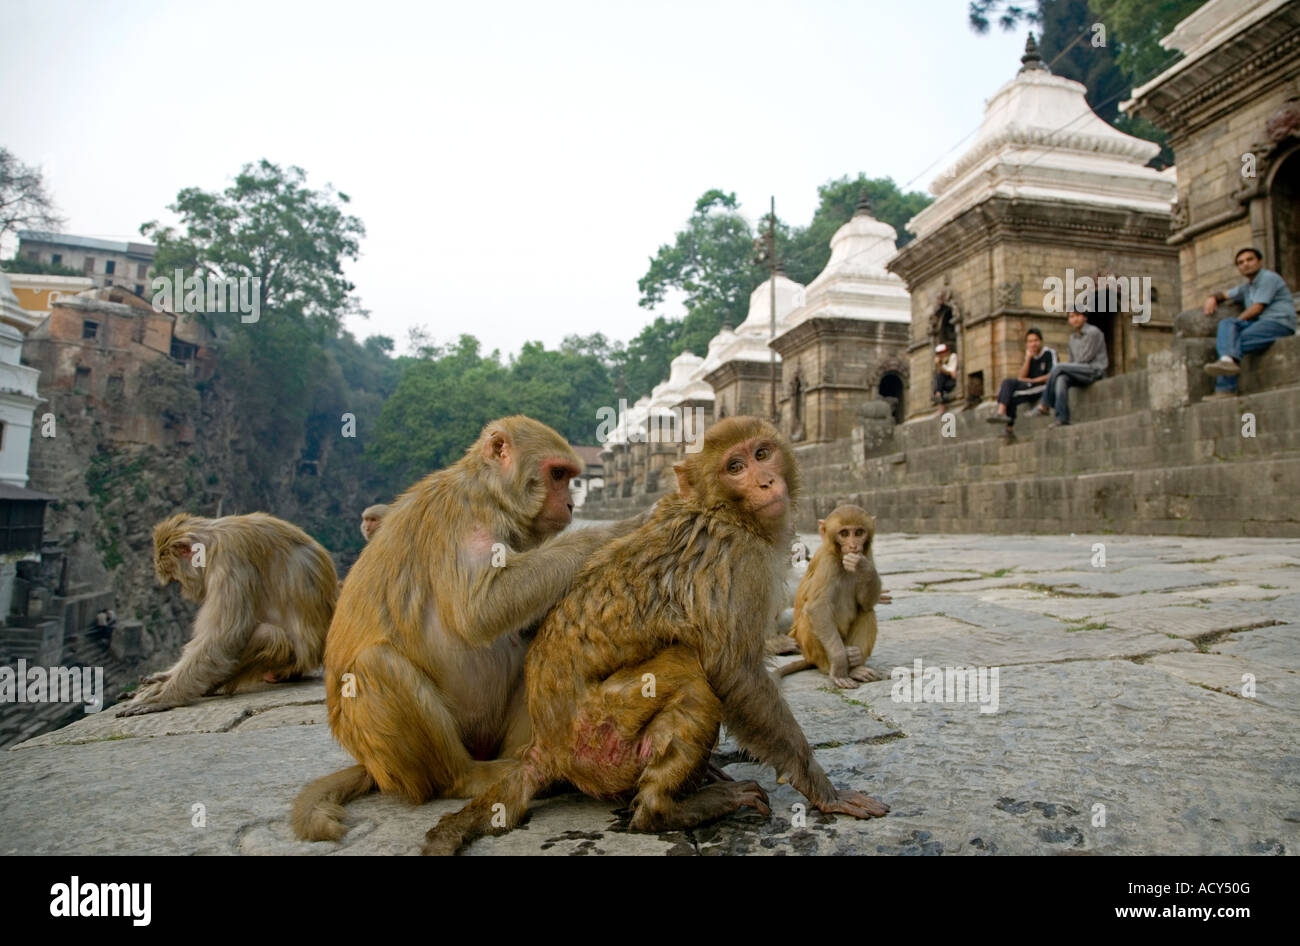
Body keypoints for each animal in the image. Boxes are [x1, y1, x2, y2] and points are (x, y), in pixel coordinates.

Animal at [118, 512, 338, 717]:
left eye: (176, 579)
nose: (184, 592)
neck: (213, 539)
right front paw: (165, 678)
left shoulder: (230, 561)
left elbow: (223, 637)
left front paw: (164, 697)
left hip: (292, 663)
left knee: (265, 634)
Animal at [292, 415, 644, 842]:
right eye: (558, 475)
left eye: (570, 477)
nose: (572, 505)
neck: (490, 490)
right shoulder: (466, 515)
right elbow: (477, 611)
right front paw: (610, 532)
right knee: (376, 665)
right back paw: (467, 777)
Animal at [777, 504, 889, 688]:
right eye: (844, 533)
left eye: (859, 532)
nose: (853, 546)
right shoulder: (827, 563)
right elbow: (818, 608)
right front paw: (839, 665)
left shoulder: (868, 553)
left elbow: (866, 602)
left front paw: (863, 567)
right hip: (811, 650)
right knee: (809, 614)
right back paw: (839, 666)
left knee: (867, 611)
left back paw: (856, 663)